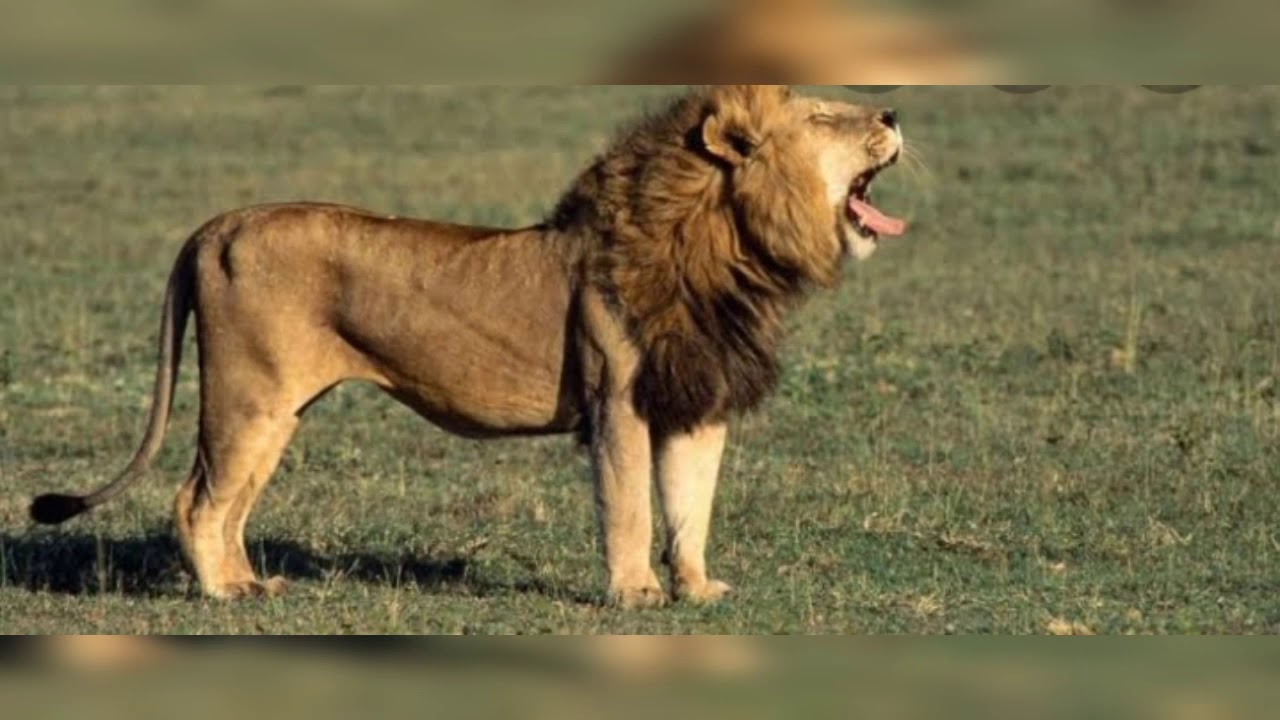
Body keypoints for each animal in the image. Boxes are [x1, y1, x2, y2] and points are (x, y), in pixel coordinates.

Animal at [29, 85, 906, 608]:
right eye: (825, 116)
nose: (895, 117)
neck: (729, 249)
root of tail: (218, 224)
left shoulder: (695, 401)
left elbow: (691, 506)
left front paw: (697, 590)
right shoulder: (617, 400)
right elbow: (628, 506)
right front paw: (634, 594)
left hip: (280, 410)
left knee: (230, 502)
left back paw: (252, 583)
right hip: (249, 396)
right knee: (197, 499)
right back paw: (223, 596)